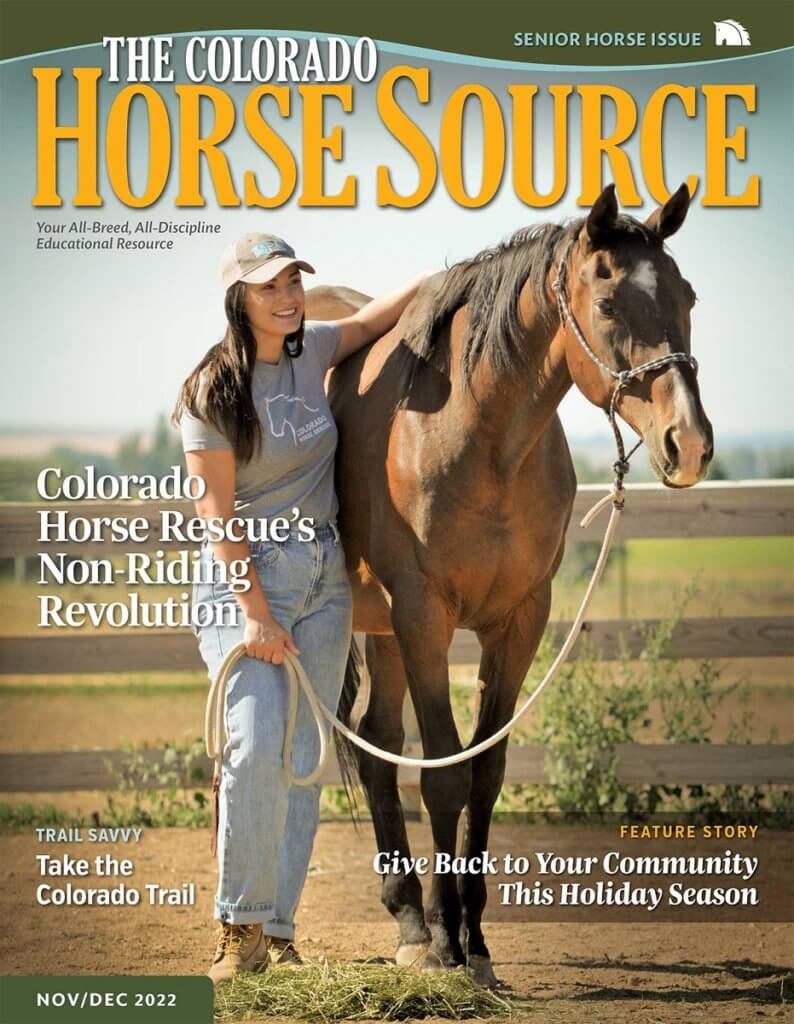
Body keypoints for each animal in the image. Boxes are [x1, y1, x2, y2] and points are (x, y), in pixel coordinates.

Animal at [305, 183, 713, 985]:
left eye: (686, 294)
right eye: (609, 302)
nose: (689, 443)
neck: (477, 437)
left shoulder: (520, 620)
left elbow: (485, 772)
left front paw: (473, 941)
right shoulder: (426, 617)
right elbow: (443, 776)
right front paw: (447, 944)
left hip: (380, 631)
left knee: (376, 744)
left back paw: (407, 917)